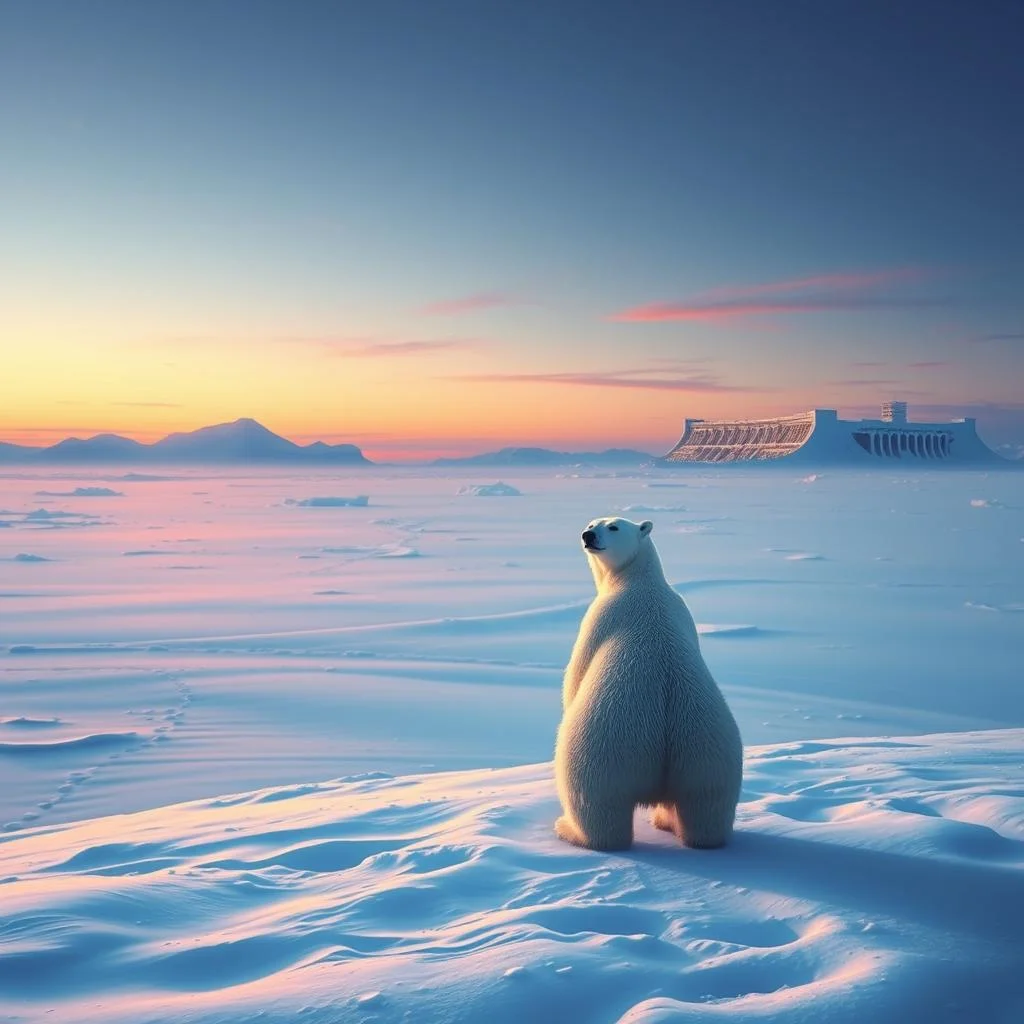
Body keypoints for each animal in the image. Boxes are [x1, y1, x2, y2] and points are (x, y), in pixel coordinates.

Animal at [554, 516, 743, 851]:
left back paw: (570, 829)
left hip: (604, 752)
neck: (640, 582)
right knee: (706, 808)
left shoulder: (601, 615)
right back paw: (674, 825)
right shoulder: (684, 612)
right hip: (707, 753)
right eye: (592, 522)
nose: (588, 535)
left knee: (596, 806)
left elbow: (576, 672)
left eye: (613, 527)